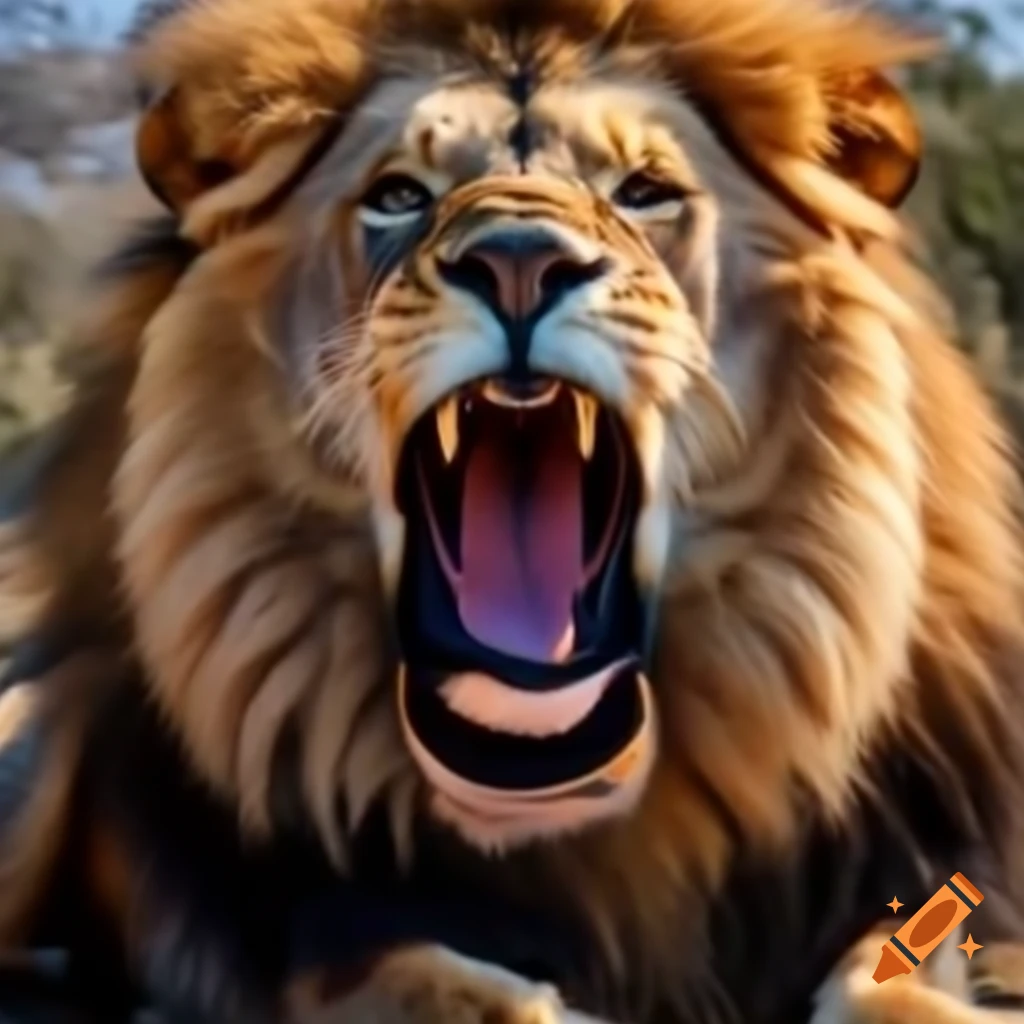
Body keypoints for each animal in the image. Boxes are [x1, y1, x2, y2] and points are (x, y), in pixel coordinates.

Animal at [3, 0, 1024, 1021]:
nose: (521, 262)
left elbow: (890, 971)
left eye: (646, 191)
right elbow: (459, 985)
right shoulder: (315, 932)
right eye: (399, 195)